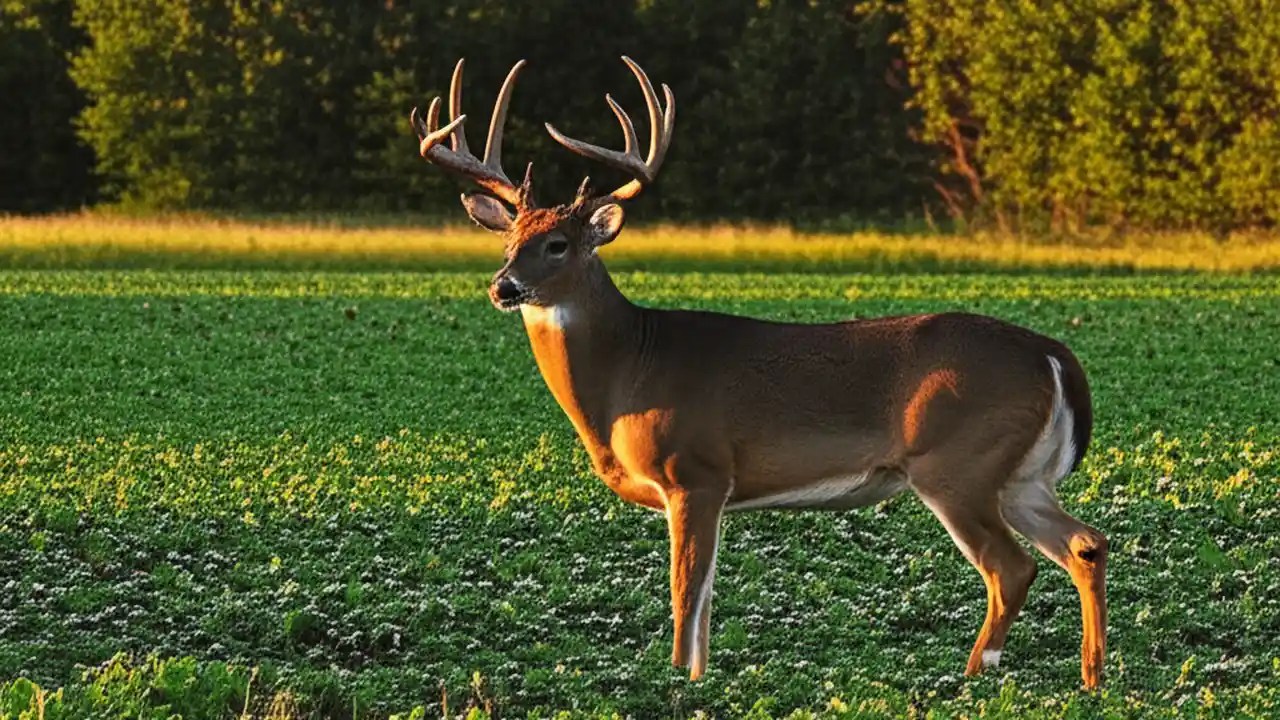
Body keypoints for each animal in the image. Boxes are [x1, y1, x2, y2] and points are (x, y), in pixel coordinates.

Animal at [409, 57, 1109, 689]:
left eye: (557, 245)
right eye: (510, 242)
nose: (503, 286)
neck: (627, 373)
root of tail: (1053, 354)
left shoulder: (695, 472)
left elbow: (685, 596)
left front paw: (674, 682)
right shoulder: (712, 490)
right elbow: (706, 605)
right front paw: (698, 681)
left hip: (957, 464)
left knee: (1010, 568)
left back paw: (971, 677)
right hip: (1018, 476)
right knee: (1085, 544)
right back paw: (1091, 676)